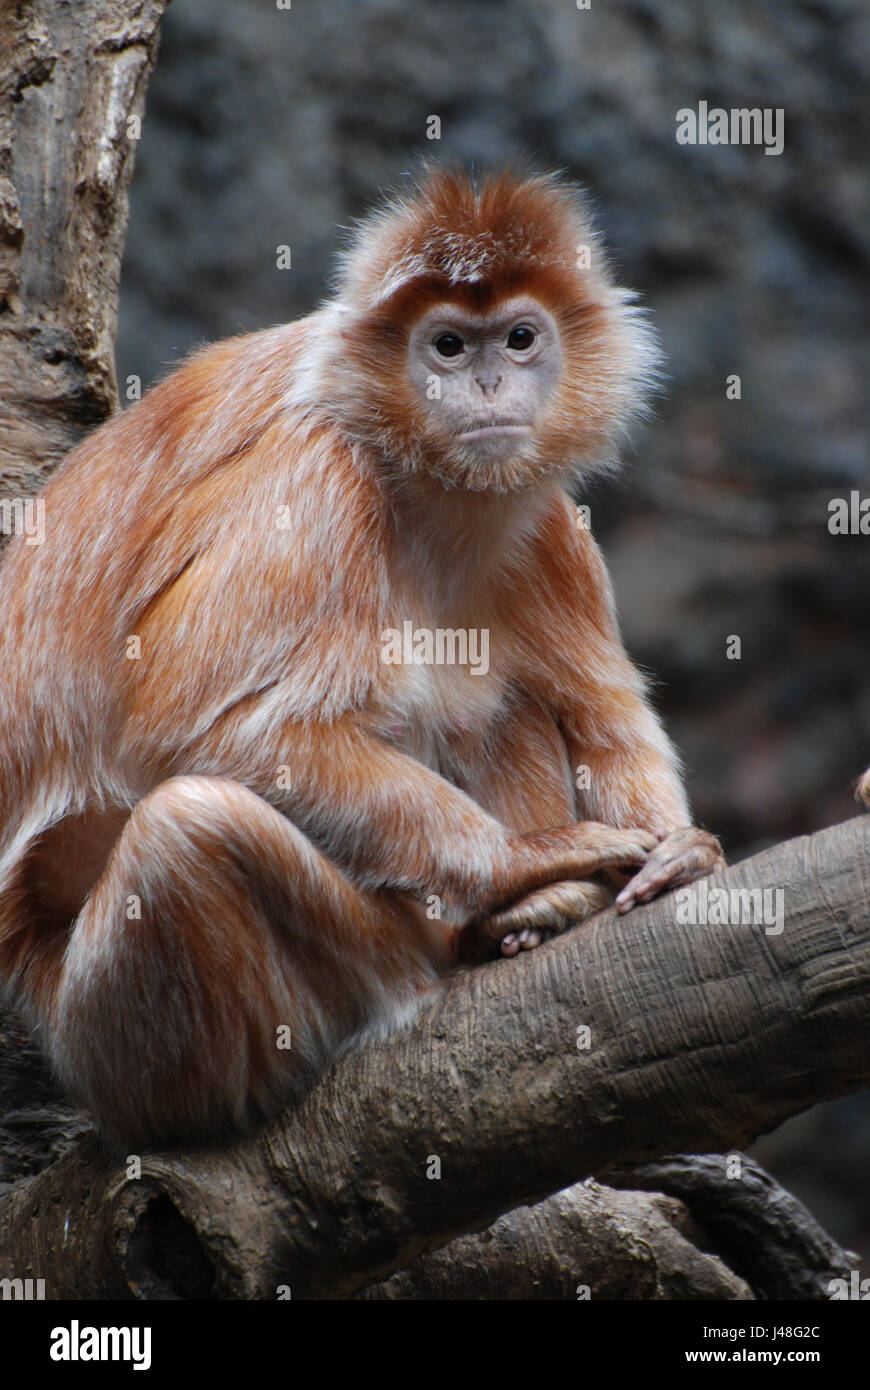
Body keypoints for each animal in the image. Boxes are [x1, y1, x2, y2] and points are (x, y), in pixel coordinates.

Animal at [0, 165, 723, 1148]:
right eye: (447, 346)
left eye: (521, 338)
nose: (489, 381)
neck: (419, 483)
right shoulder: (313, 480)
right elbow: (203, 730)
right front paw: (522, 863)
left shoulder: (546, 524)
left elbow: (606, 717)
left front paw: (684, 851)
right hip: (118, 1049)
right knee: (187, 828)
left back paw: (514, 932)